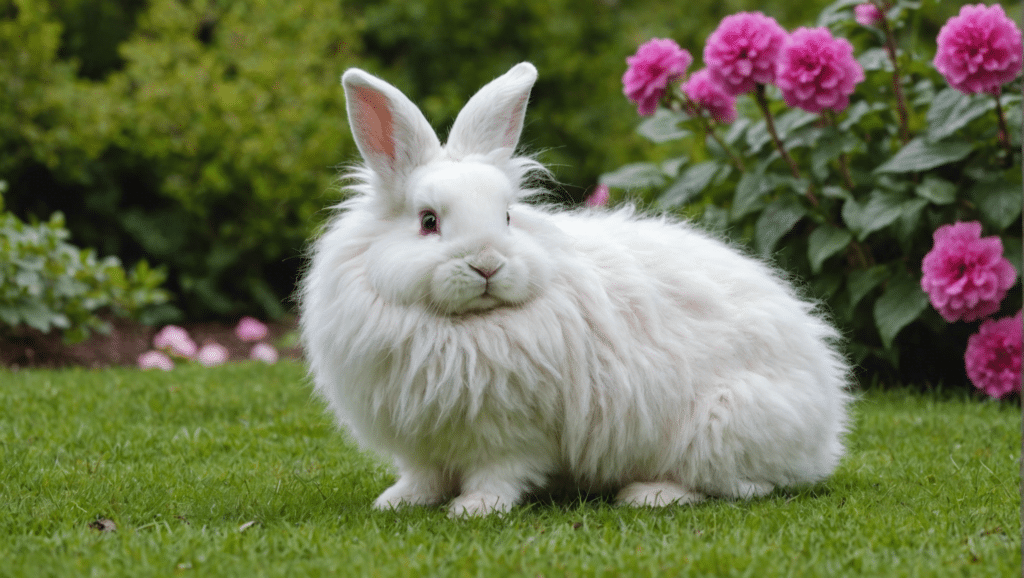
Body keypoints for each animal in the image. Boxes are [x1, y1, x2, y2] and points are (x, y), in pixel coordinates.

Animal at [300, 62, 853, 518]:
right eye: (428, 221)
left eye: (506, 217)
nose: (487, 264)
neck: (464, 325)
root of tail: (824, 434)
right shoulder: (421, 441)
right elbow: (424, 477)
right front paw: (397, 502)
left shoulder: (511, 433)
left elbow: (499, 473)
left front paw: (475, 508)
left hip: (718, 428)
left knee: (743, 487)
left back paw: (649, 494)